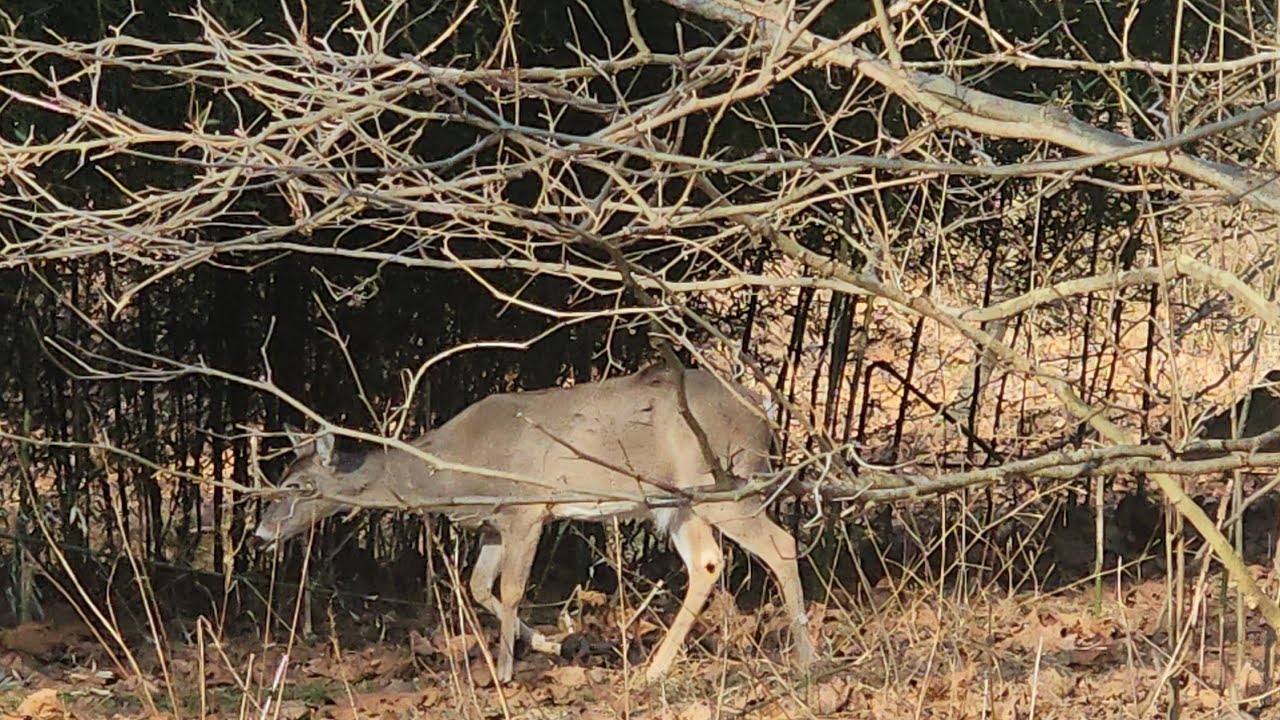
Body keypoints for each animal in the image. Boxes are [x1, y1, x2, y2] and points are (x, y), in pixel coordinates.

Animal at [253, 364, 814, 683]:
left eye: (297, 485)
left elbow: (512, 588)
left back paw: (807, 656)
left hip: (727, 480)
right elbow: (478, 585)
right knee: (708, 562)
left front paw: (504, 671)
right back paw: (654, 669)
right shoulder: (493, 523)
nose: (260, 532)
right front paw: (546, 644)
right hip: (680, 501)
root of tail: (763, 410)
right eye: (280, 475)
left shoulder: (526, 508)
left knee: (781, 544)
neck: (452, 467)